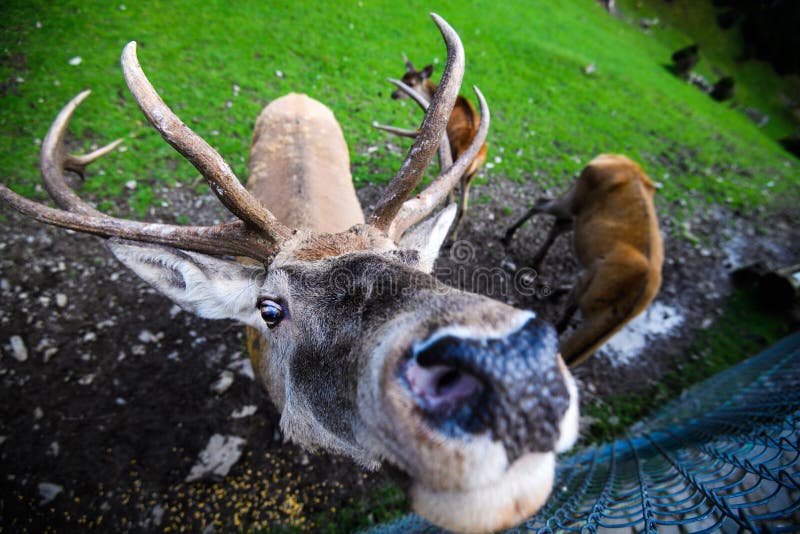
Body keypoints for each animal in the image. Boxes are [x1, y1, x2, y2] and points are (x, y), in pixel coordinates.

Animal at [374, 53, 488, 239]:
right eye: (403, 77)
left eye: (411, 84)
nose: (393, 95)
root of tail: (477, 157)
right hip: (472, 174)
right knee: (463, 207)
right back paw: (453, 238)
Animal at [502, 154, 664, 368]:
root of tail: (612, 156)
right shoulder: (584, 282)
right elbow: (562, 324)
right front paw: (553, 296)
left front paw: (554, 293)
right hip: (574, 197)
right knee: (541, 202)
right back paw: (508, 235)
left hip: (579, 215)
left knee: (557, 224)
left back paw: (536, 263)